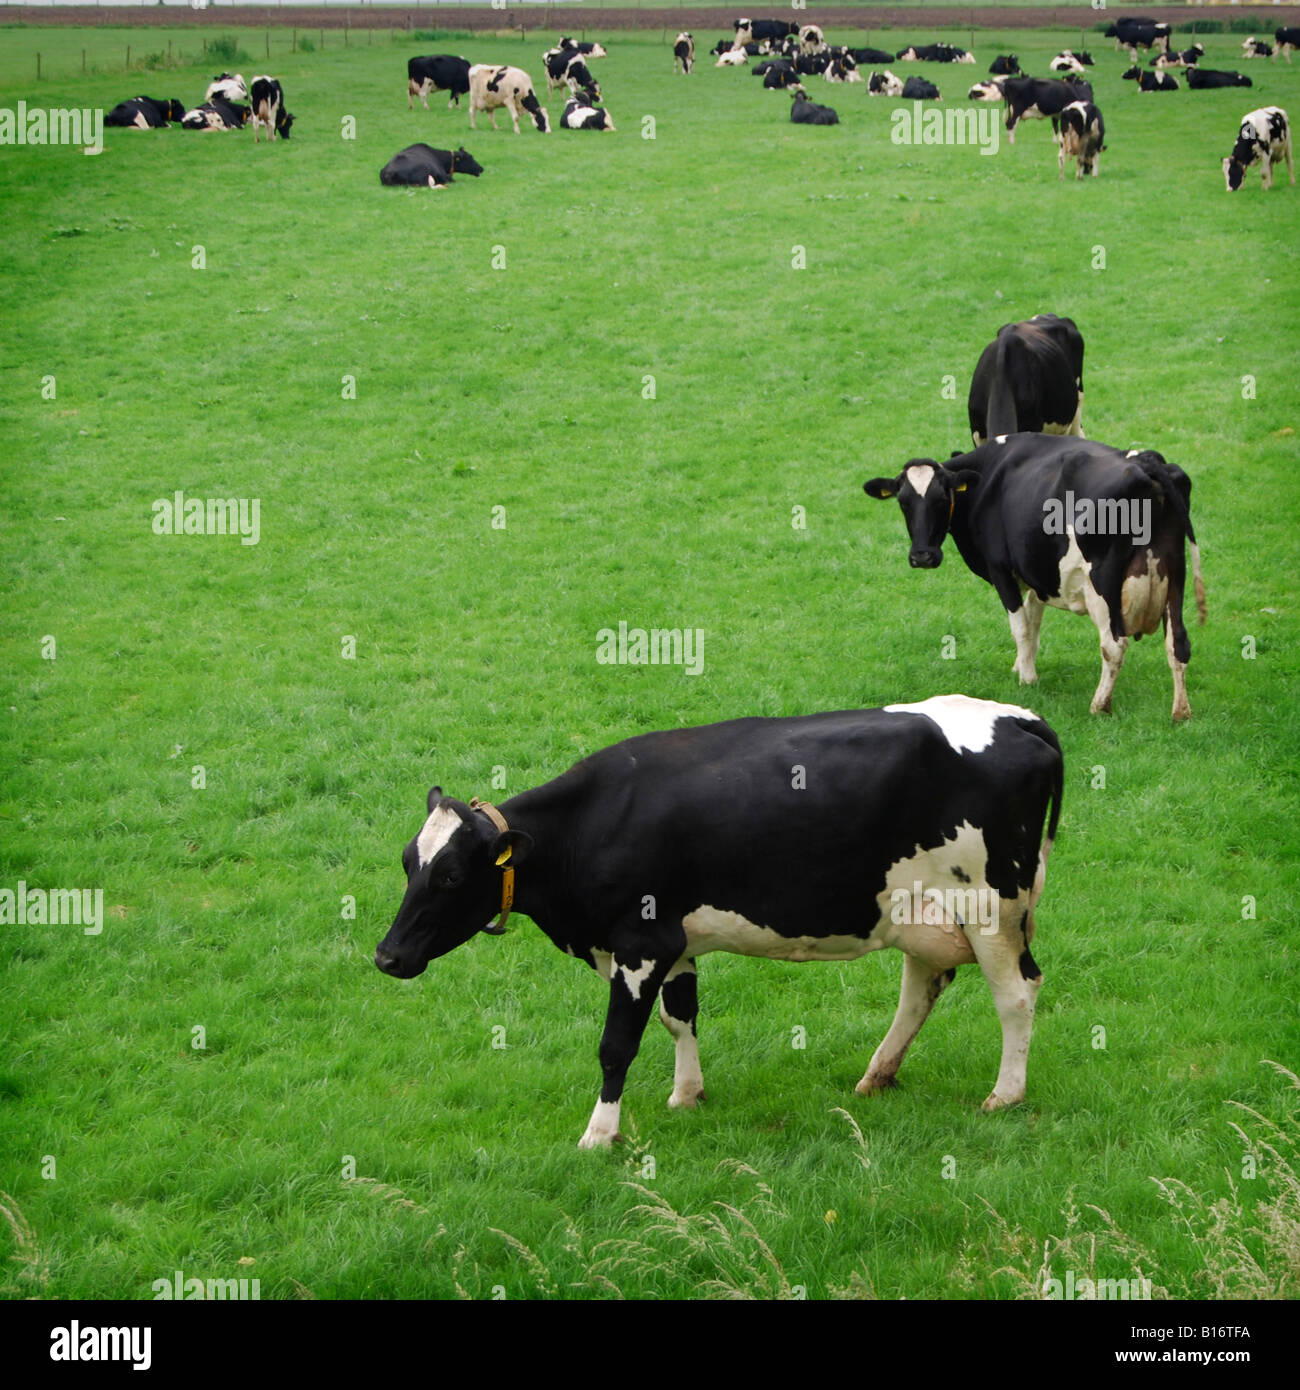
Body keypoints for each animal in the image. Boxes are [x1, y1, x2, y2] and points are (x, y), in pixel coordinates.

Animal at [375, 697, 1064, 1146]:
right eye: (408, 862)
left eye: (451, 876)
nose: (386, 956)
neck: (595, 822)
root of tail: (1022, 719)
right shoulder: (674, 945)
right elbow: (680, 1019)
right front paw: (687, 1095)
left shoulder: (639, 945)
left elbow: (616, 1045)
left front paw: (600, 1134)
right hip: (923, 913)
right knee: (921, 990)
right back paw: (877, 1075)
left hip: (994, 909)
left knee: (1015, 994)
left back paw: (1005, 1094)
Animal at [864, 438, 1206, 721]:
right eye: (903, 502)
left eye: (940, 499)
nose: (922, 556)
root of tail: (1147, 460)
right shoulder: (1036, 573)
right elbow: (1033, 621)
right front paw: (1023, 664)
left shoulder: (1001, 569)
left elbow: (1021, 627)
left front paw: (1027, 680)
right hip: (1174, 575)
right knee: (1178, 643)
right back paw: (1181, 712)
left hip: (1103, 583)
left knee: (1113, 645)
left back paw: (1099, 705)